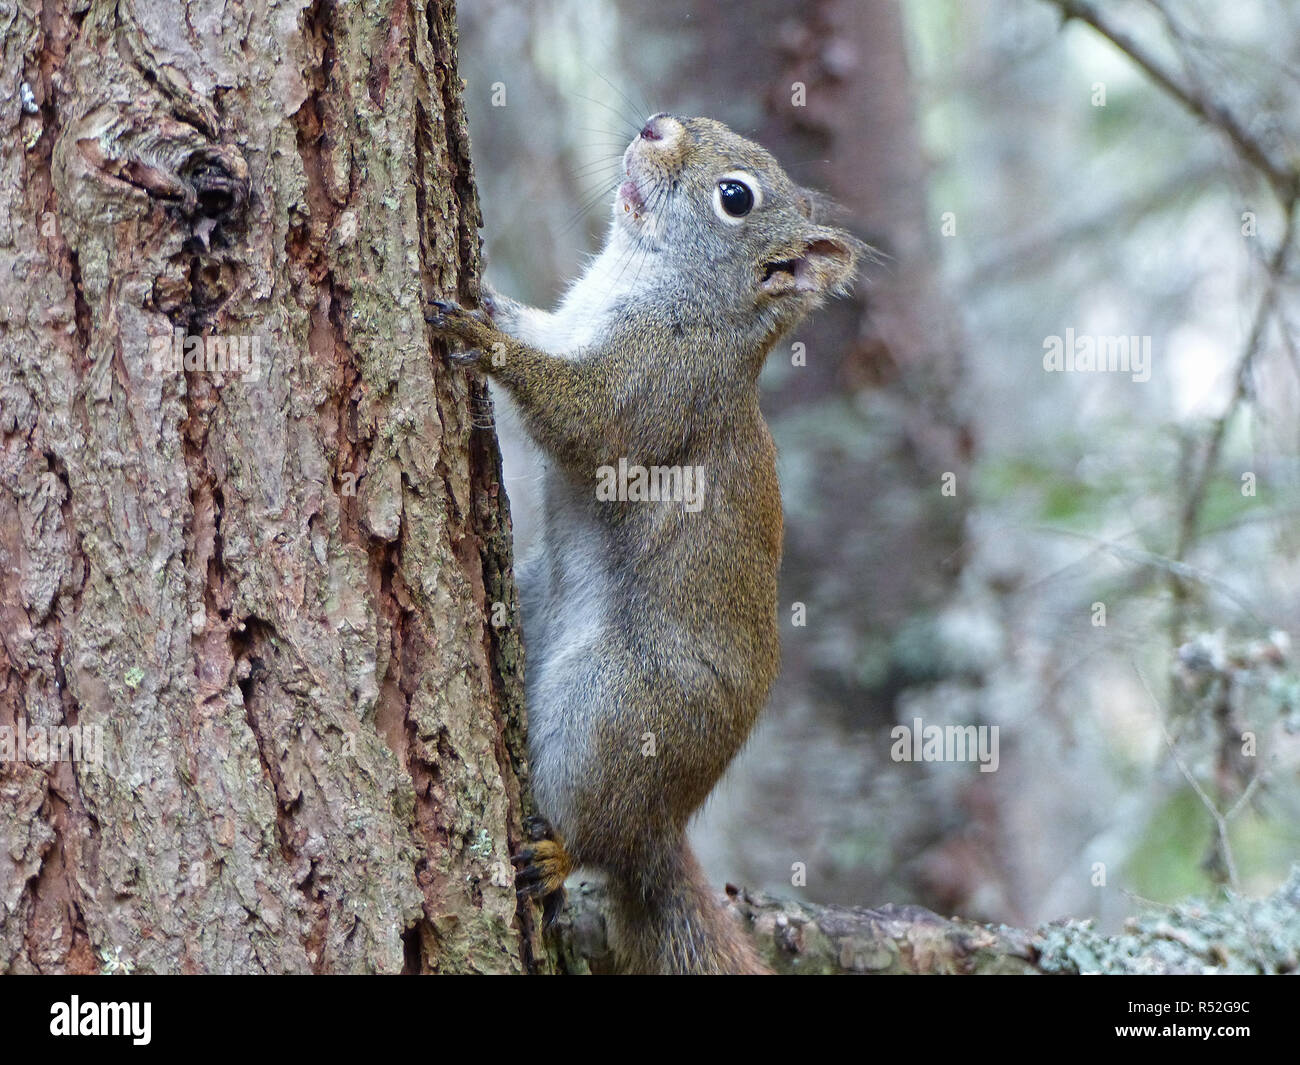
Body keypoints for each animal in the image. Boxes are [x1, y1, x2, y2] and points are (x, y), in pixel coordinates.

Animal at [427, 113, 862, 974]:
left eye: (735, 197)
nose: (656, 124)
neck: (643, 277)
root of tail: (664, 827)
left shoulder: (658, 387)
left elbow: (585, 419)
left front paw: (481, 338)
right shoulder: (569, 321)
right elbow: (536, 325)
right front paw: (486, 297)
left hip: (618, 709)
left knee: (598, 830)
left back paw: (559, 850)